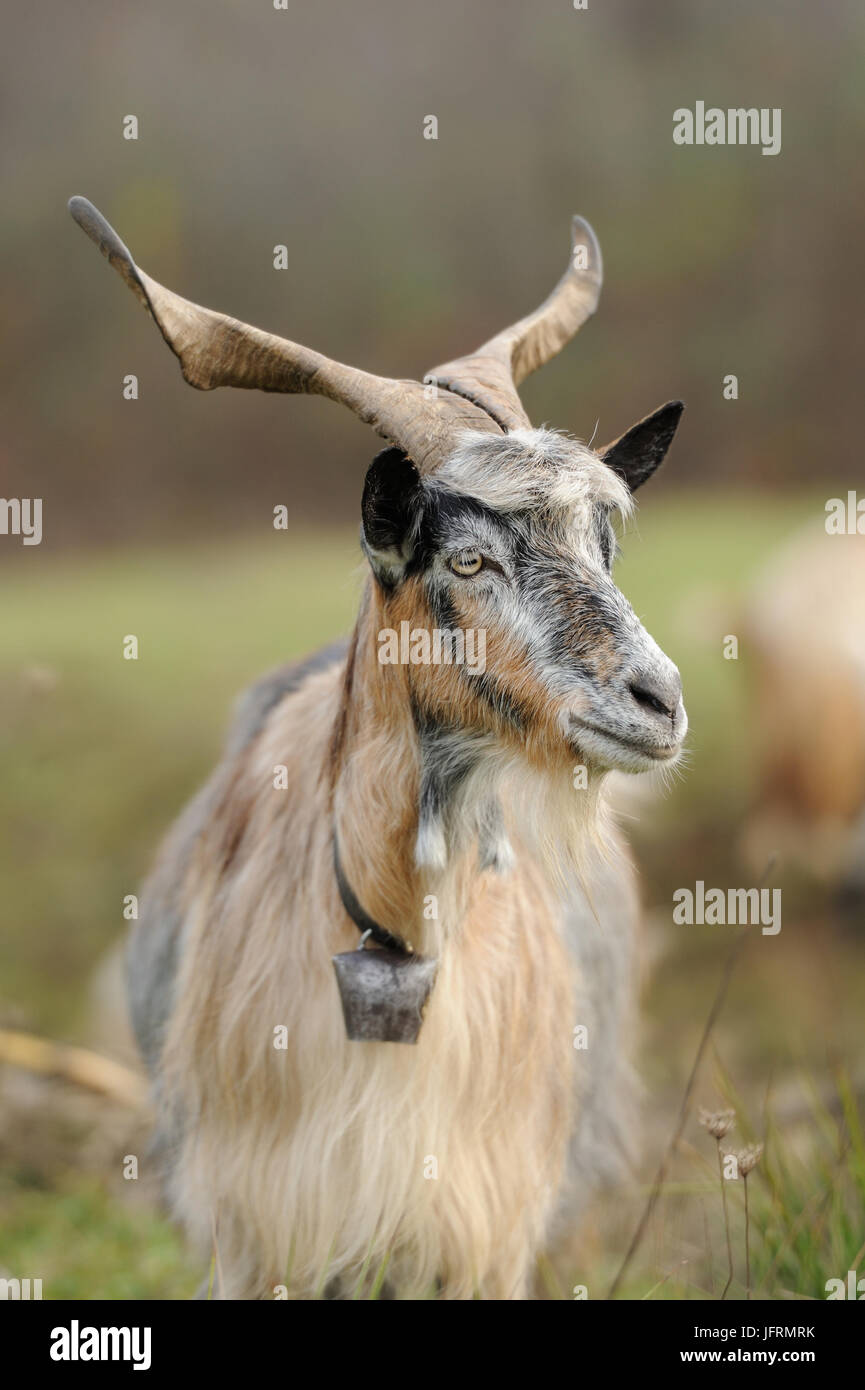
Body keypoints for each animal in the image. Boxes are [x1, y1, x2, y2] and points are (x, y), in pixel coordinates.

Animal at [69, 196, 687, 1299]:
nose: (657, 702)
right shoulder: (255, 1226)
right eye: (468, 560)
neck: (396, 936)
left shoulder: (486, 1225)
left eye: (602, 543)